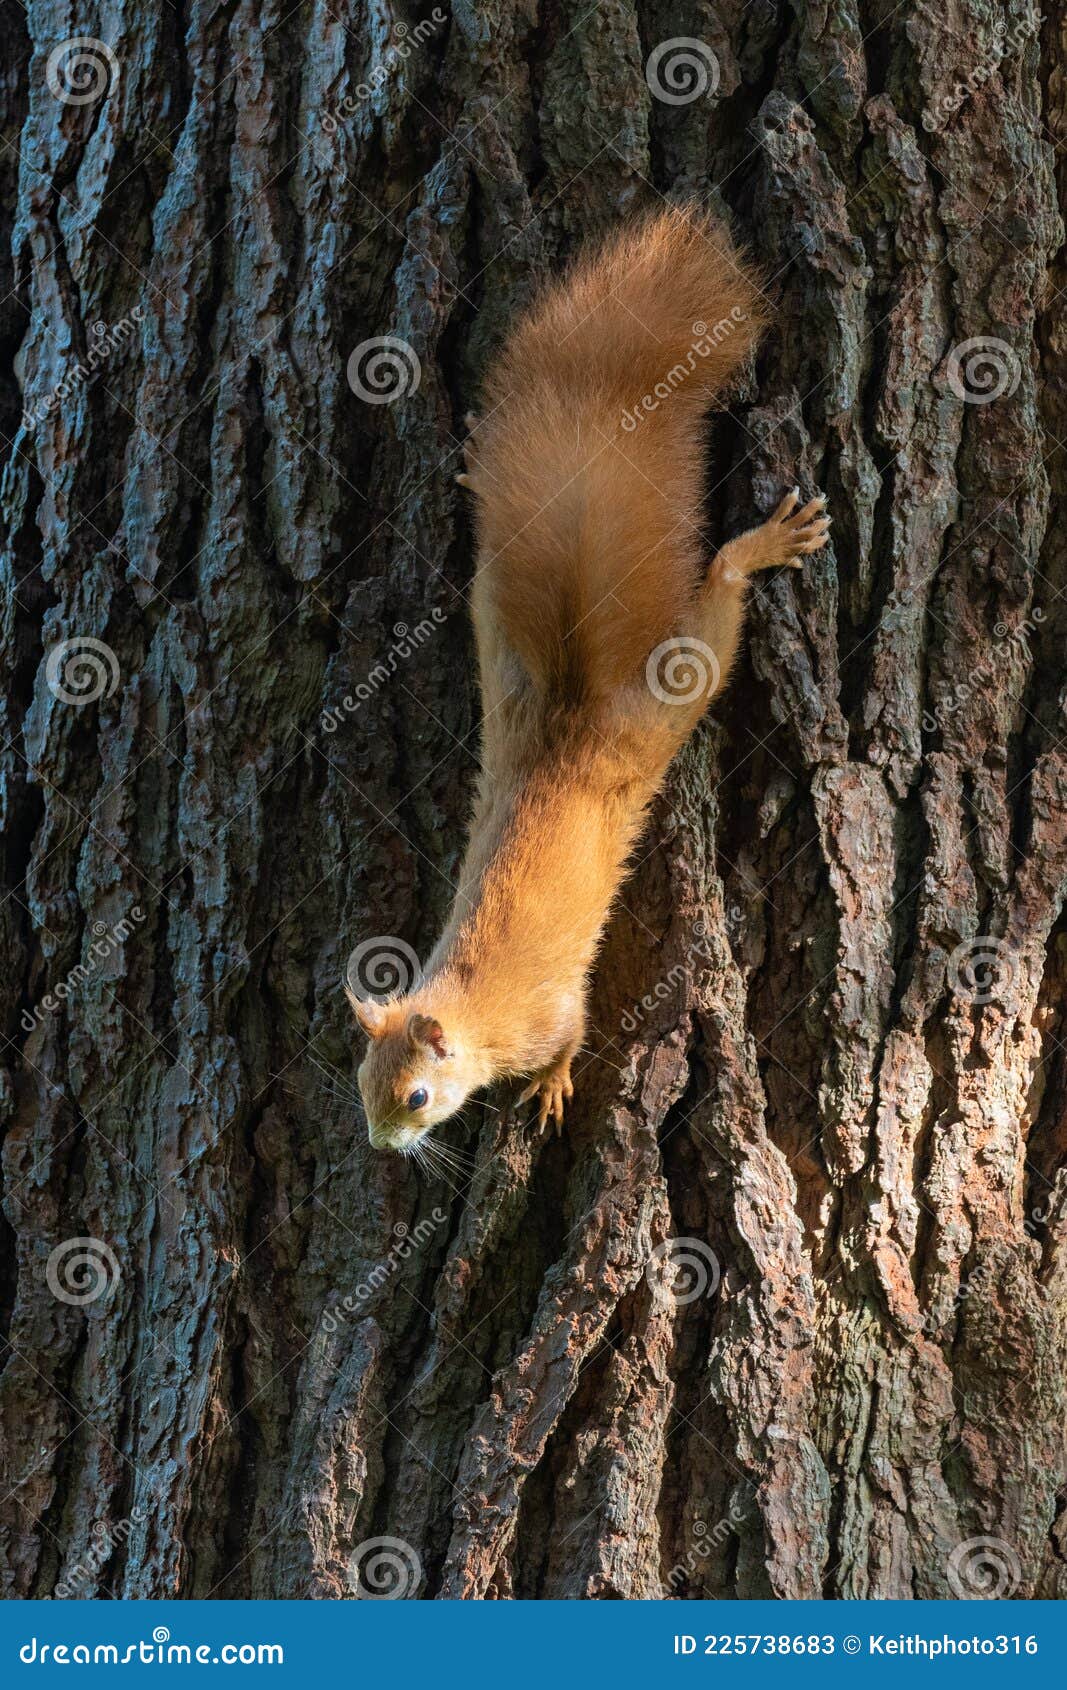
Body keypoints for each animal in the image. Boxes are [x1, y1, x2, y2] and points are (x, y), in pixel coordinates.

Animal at [350, 206, 830, 1152]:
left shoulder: (546, 1014)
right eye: (359, 1086)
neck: (469, 1001)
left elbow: (570, 1036)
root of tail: (572, 724)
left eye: (416, 1095)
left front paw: (551, 1088)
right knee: (484, 586)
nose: (383, 1145)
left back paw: (753, 551)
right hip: (501, 666)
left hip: (664, 707)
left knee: (715, 610)